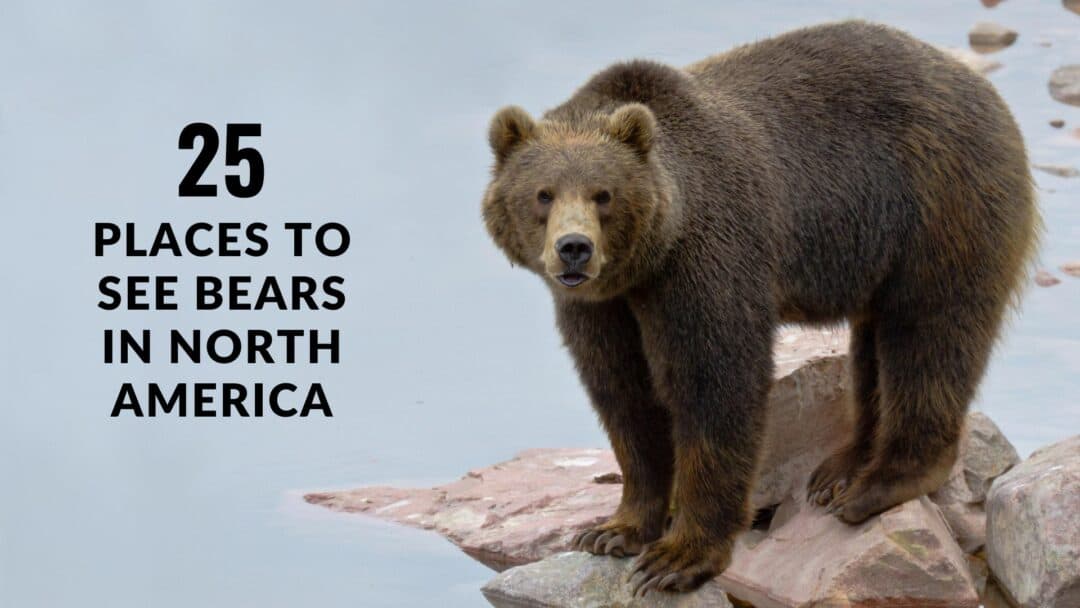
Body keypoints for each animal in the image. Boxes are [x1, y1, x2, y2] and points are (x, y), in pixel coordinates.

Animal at [480, 20, 1038, 596]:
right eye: (544, 194)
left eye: (602, 194)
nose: (574, 248)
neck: (648, 261)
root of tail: (983, 89)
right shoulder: (601, 308)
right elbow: (622, 393)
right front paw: (615, 530)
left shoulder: (707, 259)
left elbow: (716, 384)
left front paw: (678, 557)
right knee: (873, 351)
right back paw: (838, 470)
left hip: (940, 205)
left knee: (930, 335)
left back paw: (876, 485)